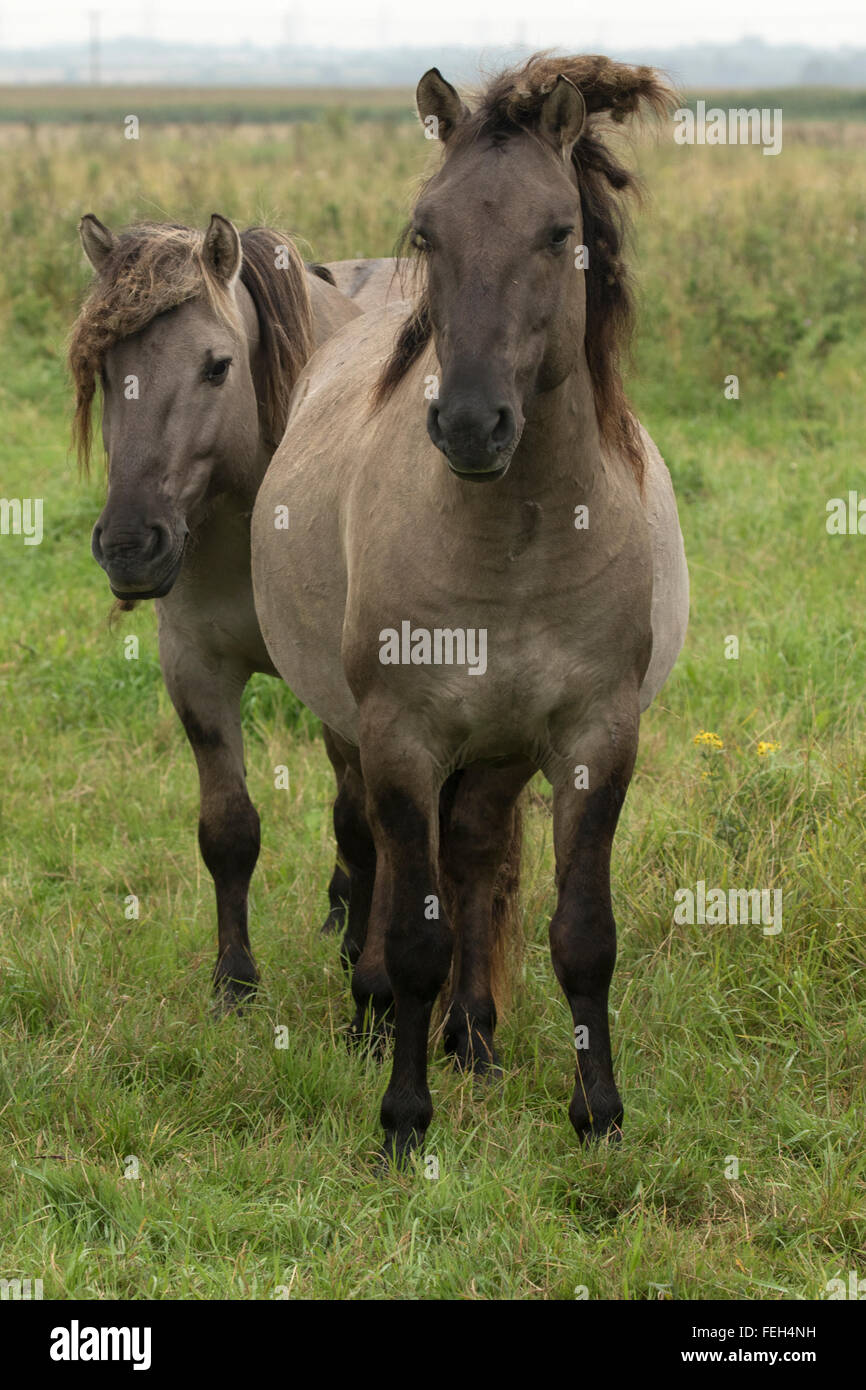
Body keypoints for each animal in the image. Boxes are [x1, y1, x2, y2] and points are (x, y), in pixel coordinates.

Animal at [69, 214, 399, 1008]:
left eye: (217, 367)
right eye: (105, 371)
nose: (130, 545)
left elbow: (359, 823)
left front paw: (359, 961)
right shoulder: (196, 668)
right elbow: (228, 831)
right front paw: (235, 983)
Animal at [252, 54, 689, 1163]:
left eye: (556, 229)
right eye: (426, 231)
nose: (469, 423)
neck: (517, 541)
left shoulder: (592, 737)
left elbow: (581, 933)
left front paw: (597, 1114)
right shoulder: (402, 737)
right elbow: (417, 931)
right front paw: (404, 1119)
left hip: (495, 756)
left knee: (479, 858)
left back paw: (475, 1038)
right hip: (355, 736)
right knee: (373, 852)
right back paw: (378, 1021)